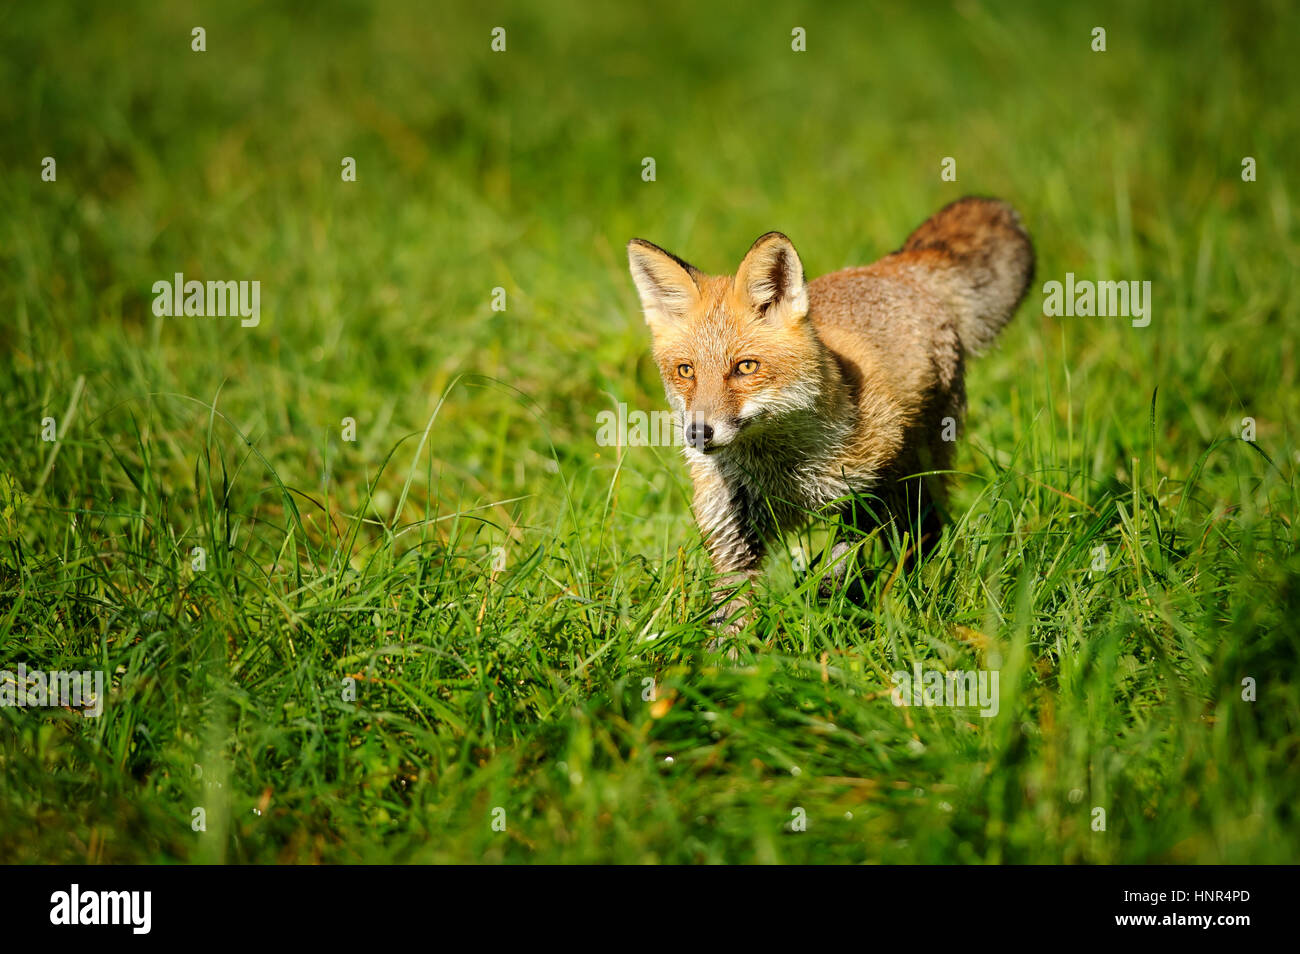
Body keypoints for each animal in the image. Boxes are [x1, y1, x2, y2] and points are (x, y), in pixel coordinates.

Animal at [625, 196, 1034, 636]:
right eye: (686, 371)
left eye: (746, 367)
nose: (699, 433)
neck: (782, 475)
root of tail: (895, 266)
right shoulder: (731, 527)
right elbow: (731, 613)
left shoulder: (874, 479)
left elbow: (840, 559)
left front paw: (821, 597)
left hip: (919, 477)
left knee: (923, 539)